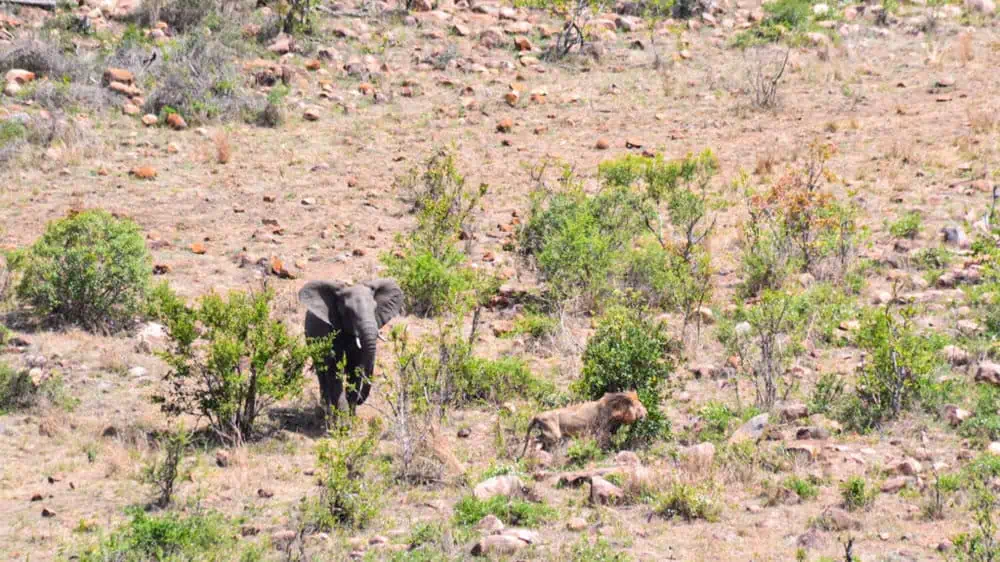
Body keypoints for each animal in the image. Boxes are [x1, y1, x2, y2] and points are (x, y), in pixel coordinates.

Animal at [298, 278, 404, 415]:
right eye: (349, 311)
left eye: (375, 308)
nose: (360, 400)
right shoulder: (330, 330)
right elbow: (334, 369)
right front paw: (343, 418)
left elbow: (354, 367)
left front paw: (351, 415)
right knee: (321, 371)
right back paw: (326, 411)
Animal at [519, 391, 648, 458]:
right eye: (639, 407)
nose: (646, 413)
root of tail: (537, 415)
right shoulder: (601, 431)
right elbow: (602, 444)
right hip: (553, 434)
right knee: (533, 439)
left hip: (548, 434)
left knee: (535, 439)